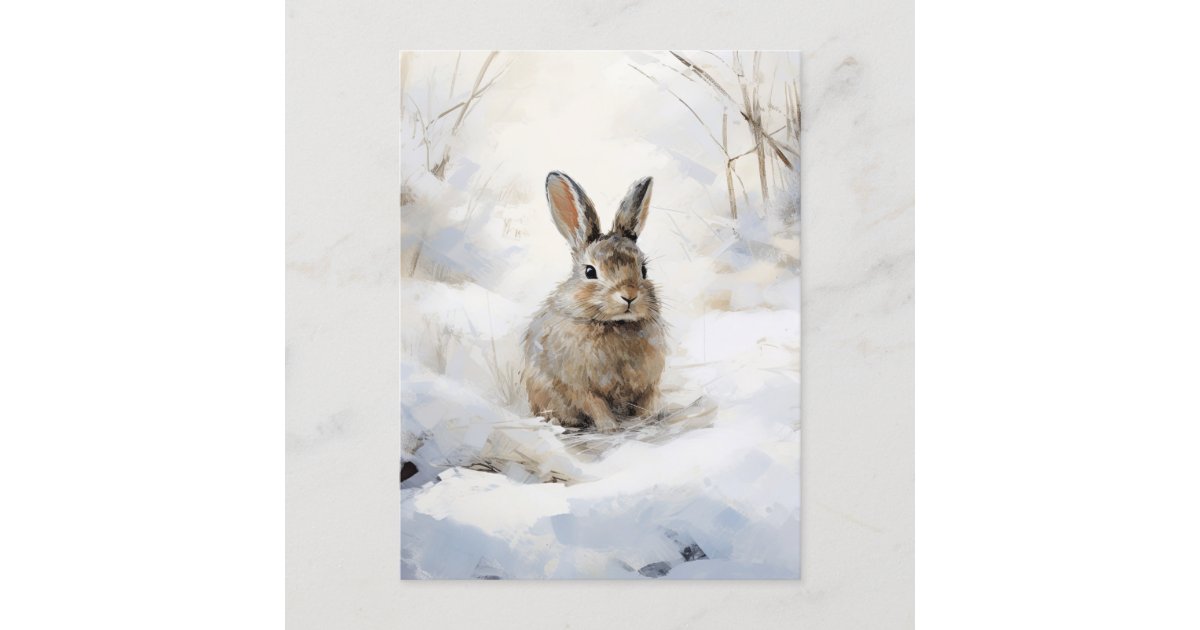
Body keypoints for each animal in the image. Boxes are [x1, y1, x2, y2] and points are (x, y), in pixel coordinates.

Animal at [522, 171, 667, 432]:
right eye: (590, 272)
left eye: (643, 270)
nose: (629, 294)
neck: (615, 324)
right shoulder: (577, 387)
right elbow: (595, 405)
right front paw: (611, 427)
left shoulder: (649, 384)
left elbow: (648, 401)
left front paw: (650, 419)